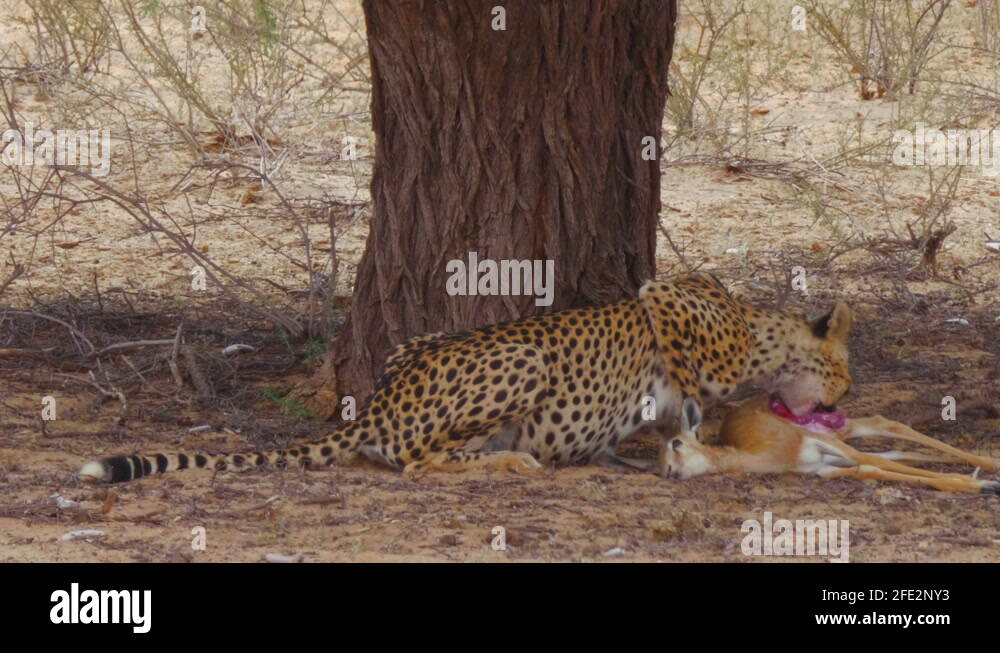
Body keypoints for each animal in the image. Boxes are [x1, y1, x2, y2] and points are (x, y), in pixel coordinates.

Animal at [77, 273, 853, 483]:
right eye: (844, 372)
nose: (844, 404)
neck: (761, 334)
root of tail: (381, 401)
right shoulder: (662, 299)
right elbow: (692, 378)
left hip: (415, 342)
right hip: (525, 357)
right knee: (419, 461)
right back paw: (511, 460)